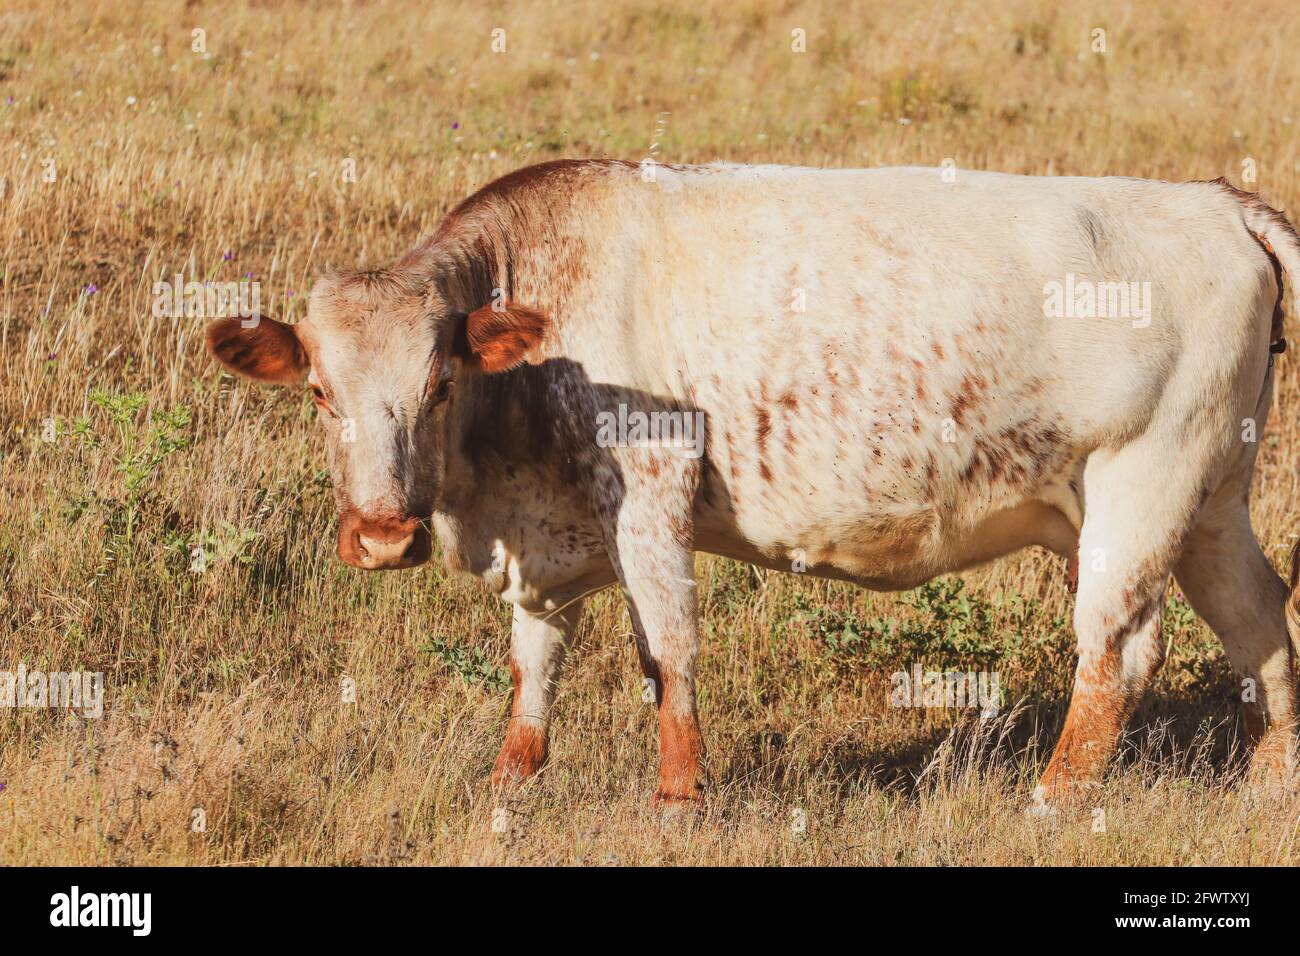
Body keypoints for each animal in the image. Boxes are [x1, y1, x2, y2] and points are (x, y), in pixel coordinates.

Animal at [205, 160, 1300, 806]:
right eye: (318, 390)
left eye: (436, 385)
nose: (384, 535)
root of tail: (1216, 201)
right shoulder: (546, 534)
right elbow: (534, 661)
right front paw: (510, 785)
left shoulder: (649, 493)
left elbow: (667, 651)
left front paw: (679, 797)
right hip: (1205, 498)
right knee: (1256, 618)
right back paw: (1267, 779)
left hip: (1144, 481)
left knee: (1114, 646)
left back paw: (1052, 798)